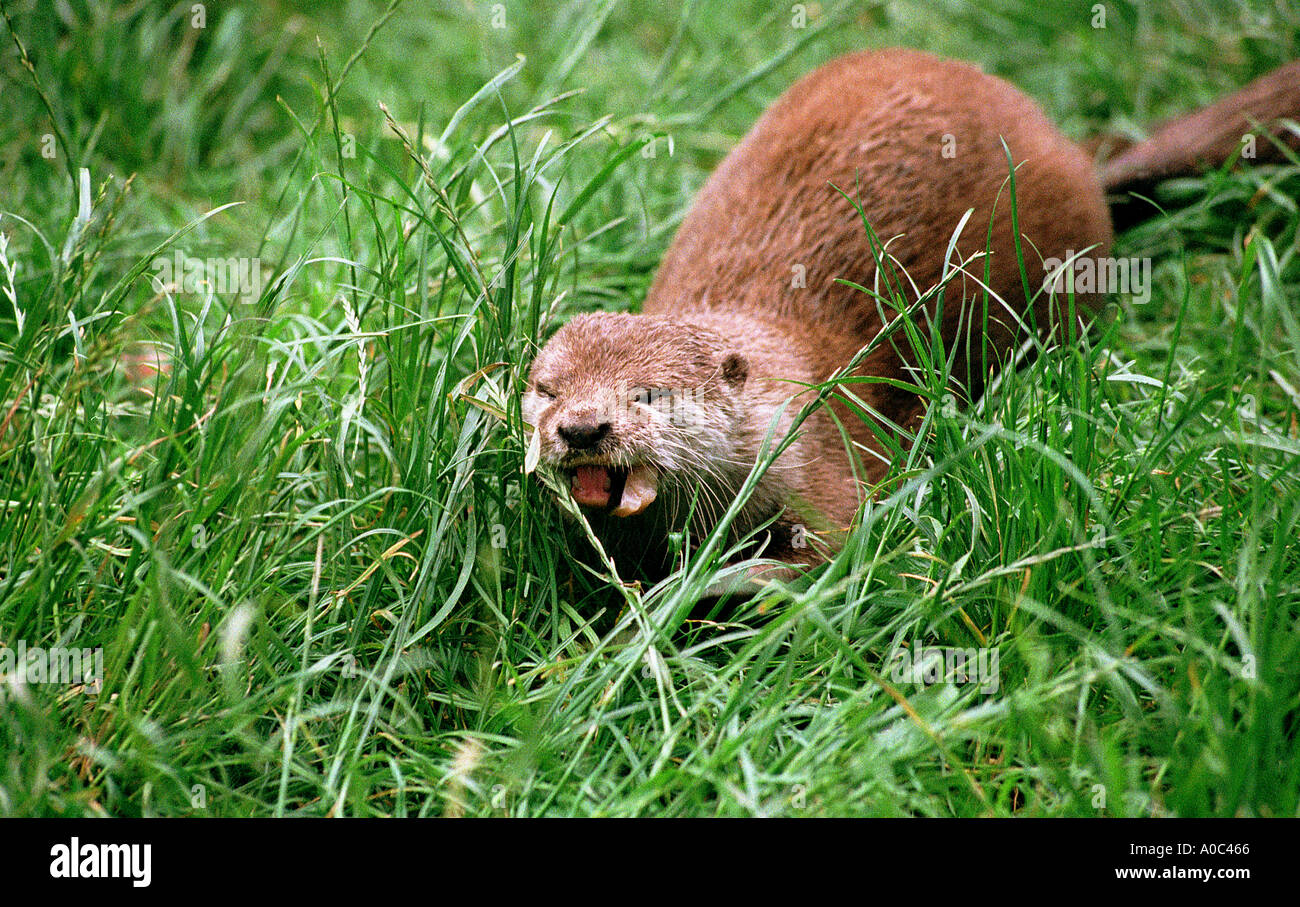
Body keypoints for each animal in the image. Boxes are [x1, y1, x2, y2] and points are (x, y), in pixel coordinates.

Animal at [523, 48, 1300, 575]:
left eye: (649, 395)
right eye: (547, 390)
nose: (582, 428)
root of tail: (1076, 156)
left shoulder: (826, 458)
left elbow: (840, 547)